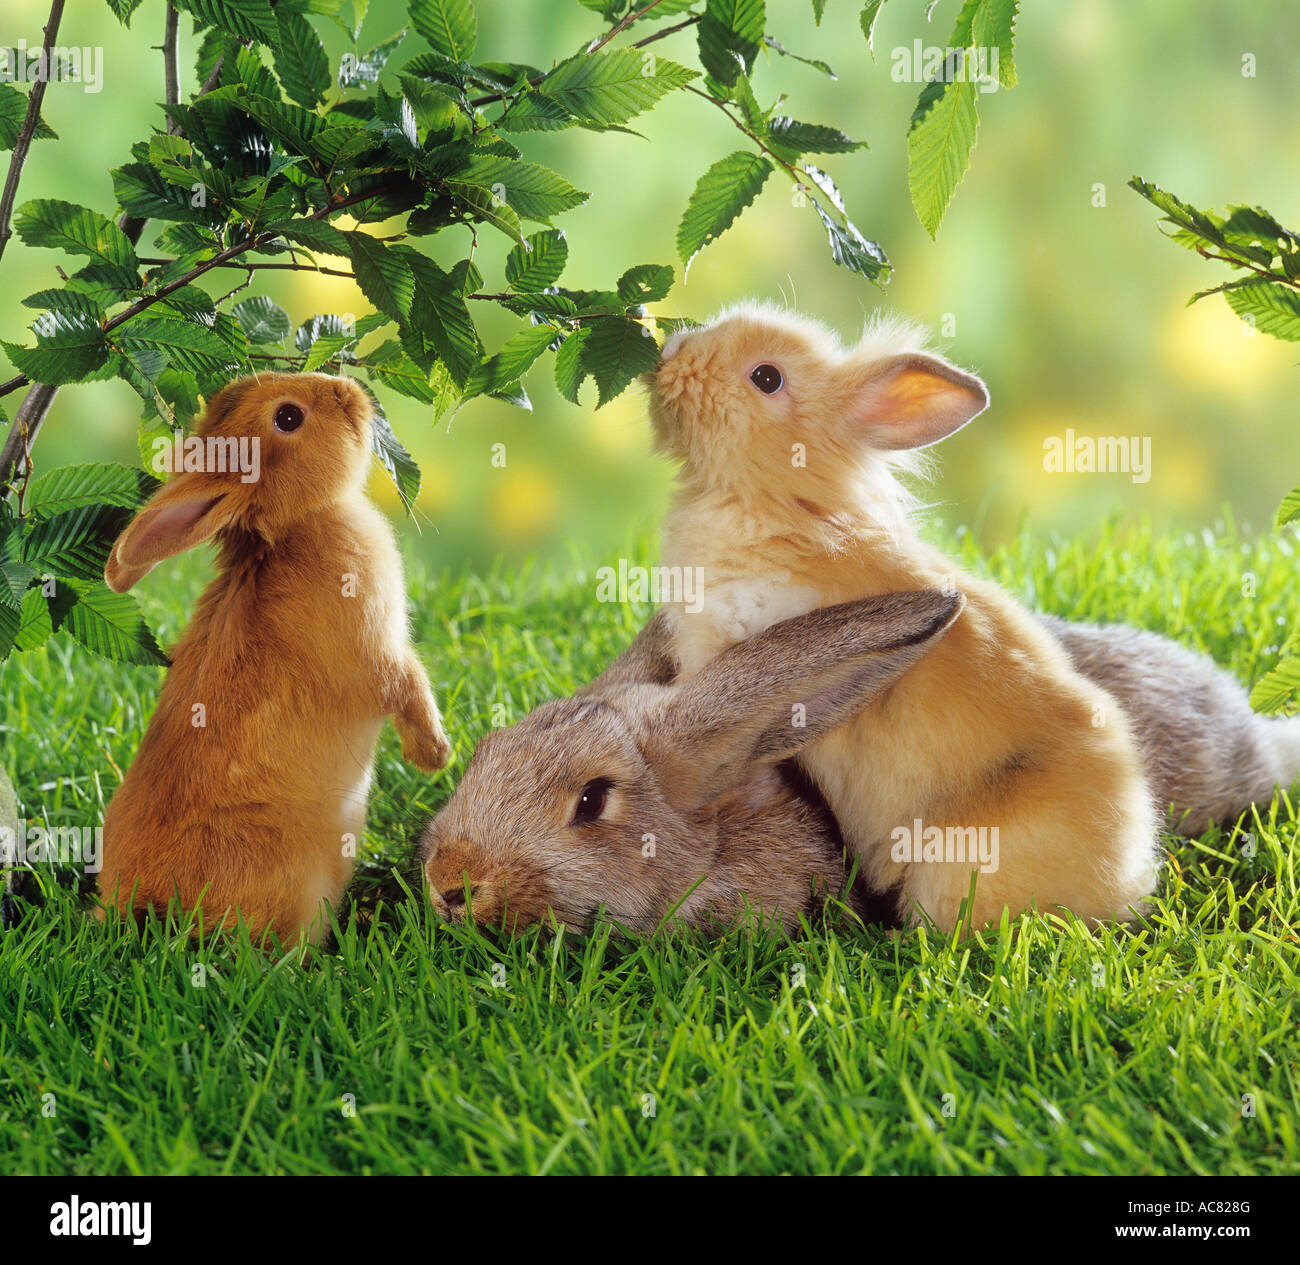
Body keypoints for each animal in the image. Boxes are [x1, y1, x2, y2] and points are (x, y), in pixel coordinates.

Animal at [99, 372, 451, 943]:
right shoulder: (377, 654)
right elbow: (407, 685)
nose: (350, 390)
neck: (289, 525)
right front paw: (436, 755)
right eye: (288, 418)